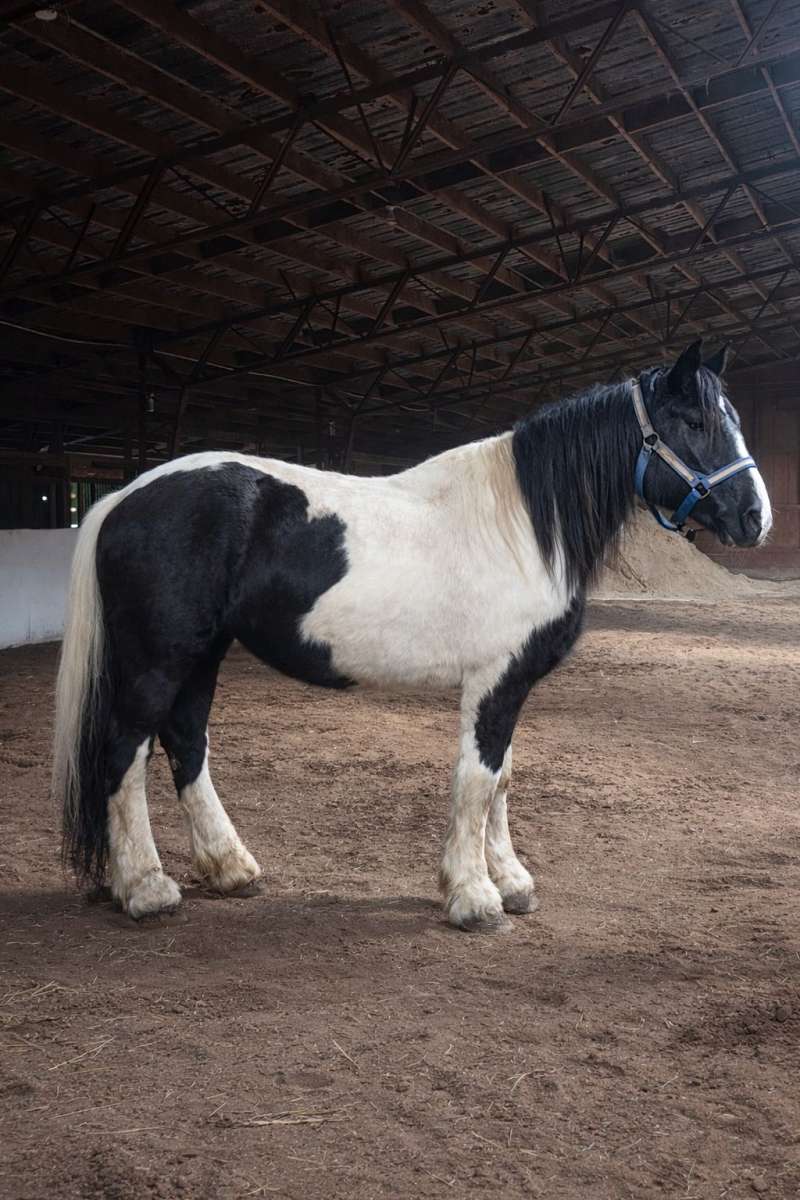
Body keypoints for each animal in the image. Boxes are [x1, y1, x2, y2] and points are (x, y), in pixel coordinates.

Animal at [52, 339, 771, 932]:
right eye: (694, 422)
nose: (756, 518)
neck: (522, 525)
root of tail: (118, 499)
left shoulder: (505, 684)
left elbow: (502, 778)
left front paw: (510, 881)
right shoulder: (494, 680)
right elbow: (477, 781)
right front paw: (474, 897)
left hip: (204, 652)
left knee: (186, 740)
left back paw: (231, 868)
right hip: (159, 658)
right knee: (125, 751)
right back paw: (146, 888)